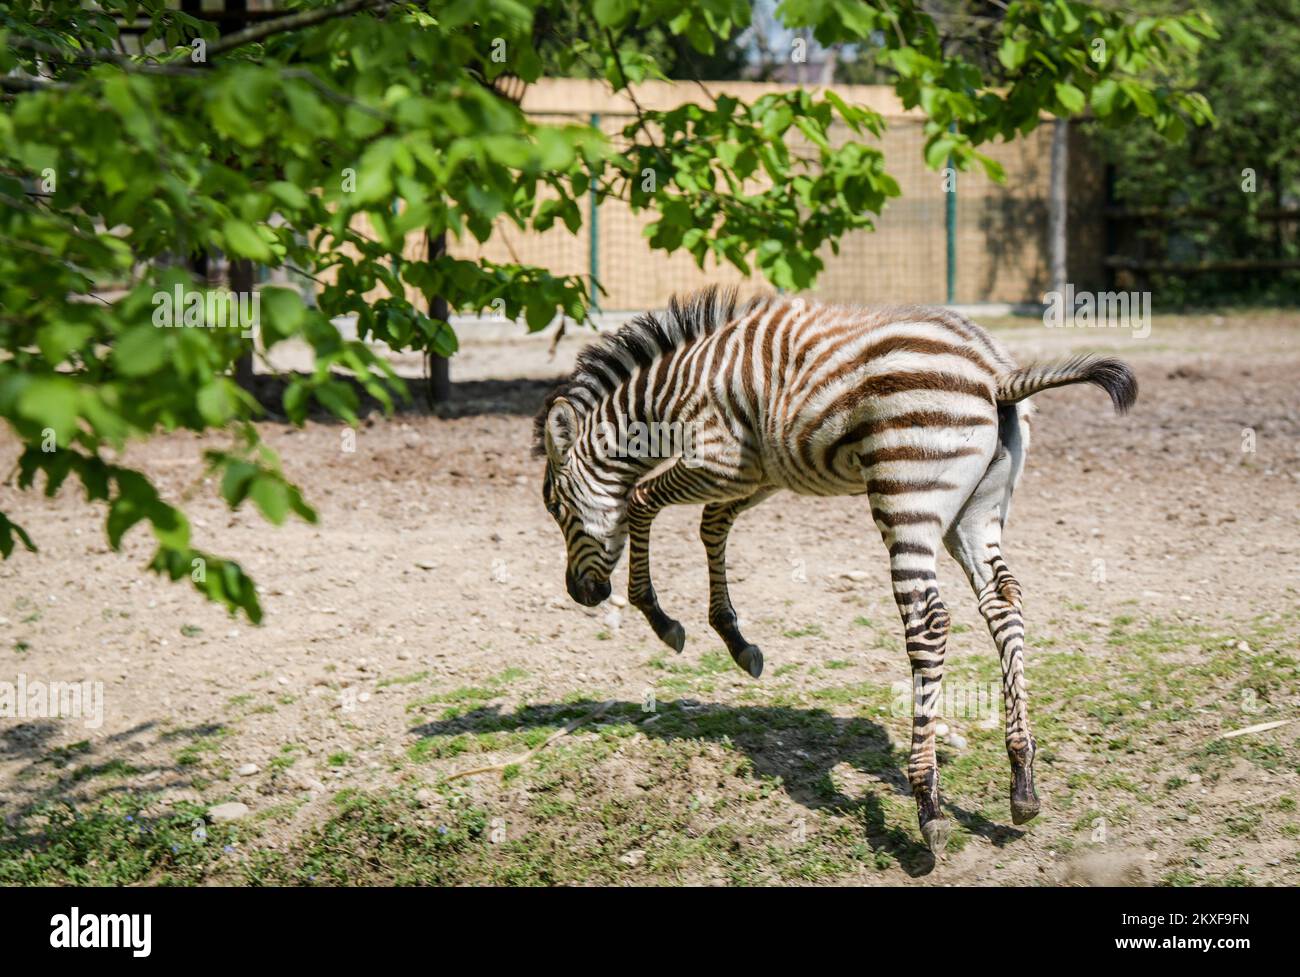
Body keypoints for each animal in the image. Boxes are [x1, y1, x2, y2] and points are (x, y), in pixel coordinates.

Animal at [535, 286, 1136, 853]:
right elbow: (713, 526)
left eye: (556, 508)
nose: (581, 595)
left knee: (928, 625)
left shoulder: (718, 462)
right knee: (1003, 603)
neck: (670, 394)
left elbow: (640, 502)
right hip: (975, 512)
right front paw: (734, 639)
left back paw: (928, 803)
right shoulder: (759, 473)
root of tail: (995, 372)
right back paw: (1022, 779)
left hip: (906, 496)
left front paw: (660, 618)